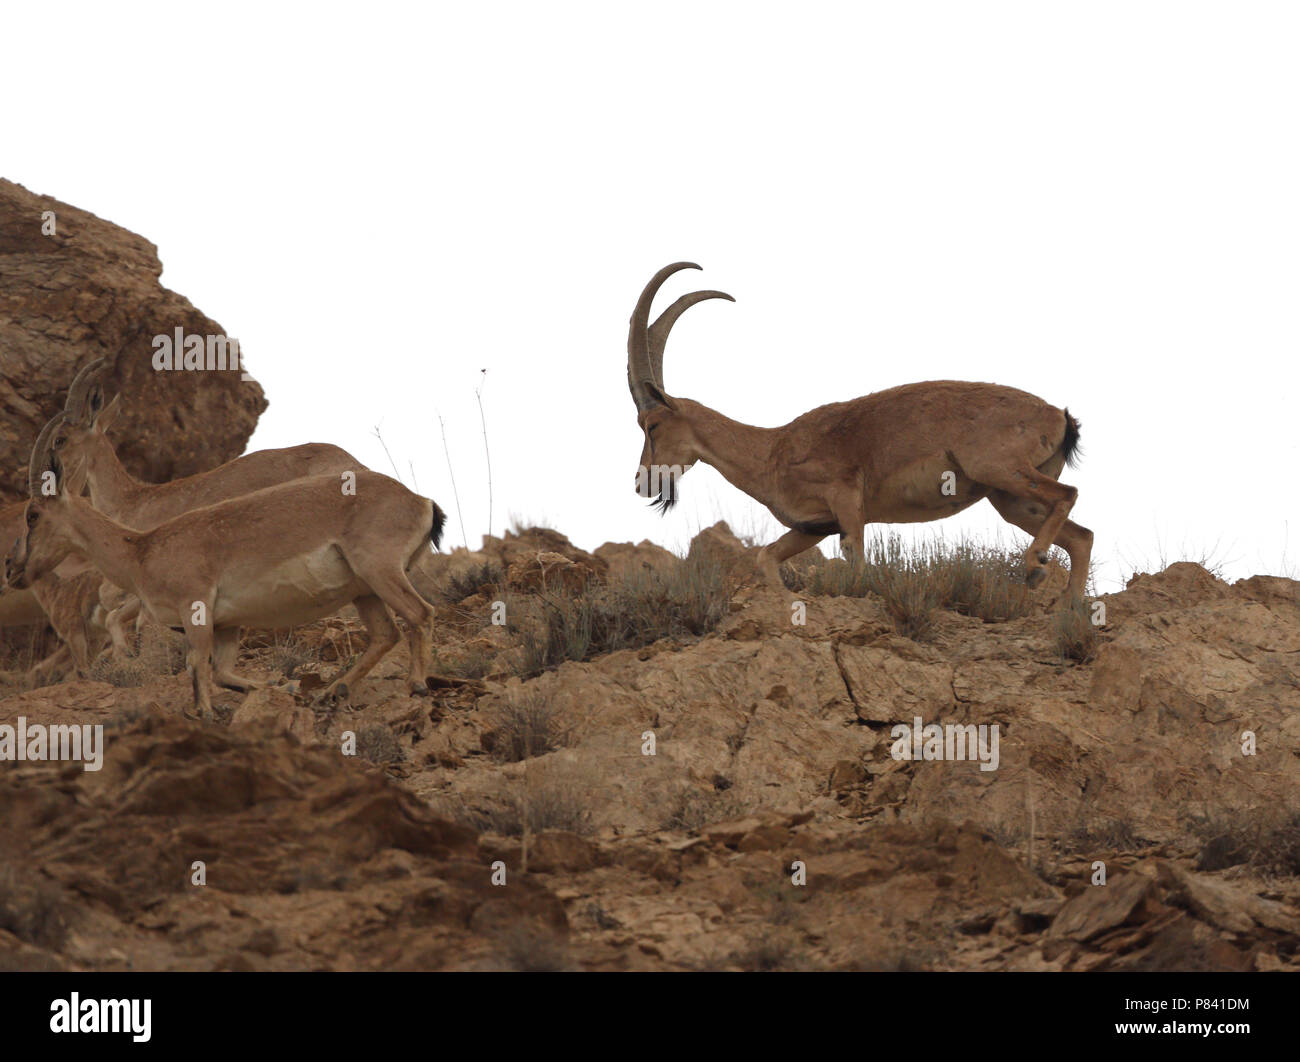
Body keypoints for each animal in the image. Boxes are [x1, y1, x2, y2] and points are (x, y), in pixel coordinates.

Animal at [627, 263, 1092, 598]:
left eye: (651, 424)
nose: (642, 482)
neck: (771, 451)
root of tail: (1059, 416)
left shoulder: (846, 499)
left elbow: (857, 561)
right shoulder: (812, 526)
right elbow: (766, 558)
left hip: (998, 469)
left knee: (1068, 495)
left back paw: (1034, 566)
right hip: (1009, 499)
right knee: (1081, 535)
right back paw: (1068, 609)